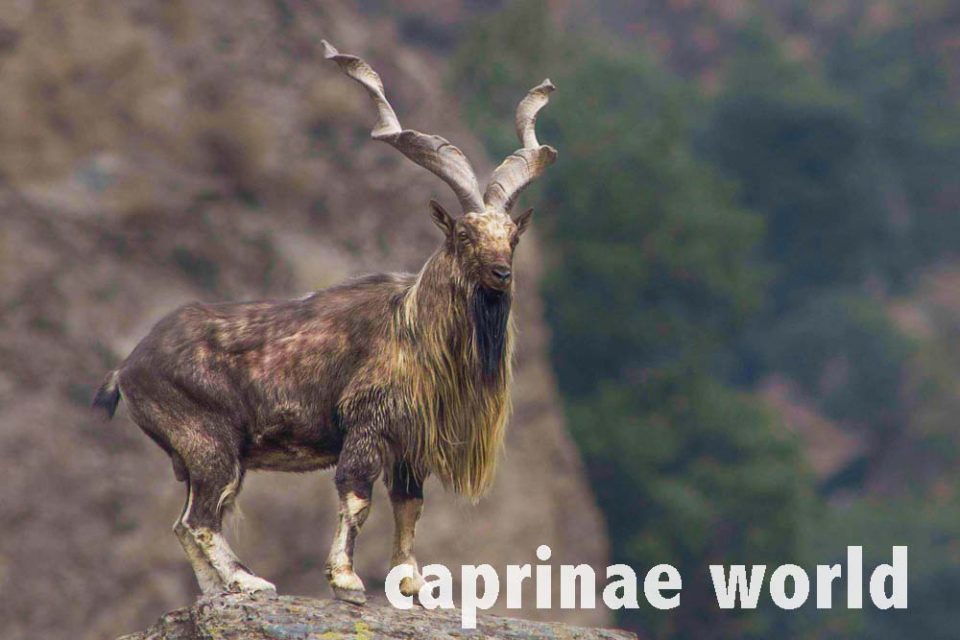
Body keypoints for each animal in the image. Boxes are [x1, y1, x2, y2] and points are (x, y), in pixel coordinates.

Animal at [92, 41, 557, 604]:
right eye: (464, 234)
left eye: (512, 236)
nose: (501, 273)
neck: (414, 330)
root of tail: (128, 368)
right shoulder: (367, 426)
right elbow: (357, 497)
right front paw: (347, 581)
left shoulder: (410, 446)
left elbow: (409, 506)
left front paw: (413, 586)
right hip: (210, 443)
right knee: (201, 517)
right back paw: (249, 580)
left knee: (185, 523)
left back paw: (216, 591)